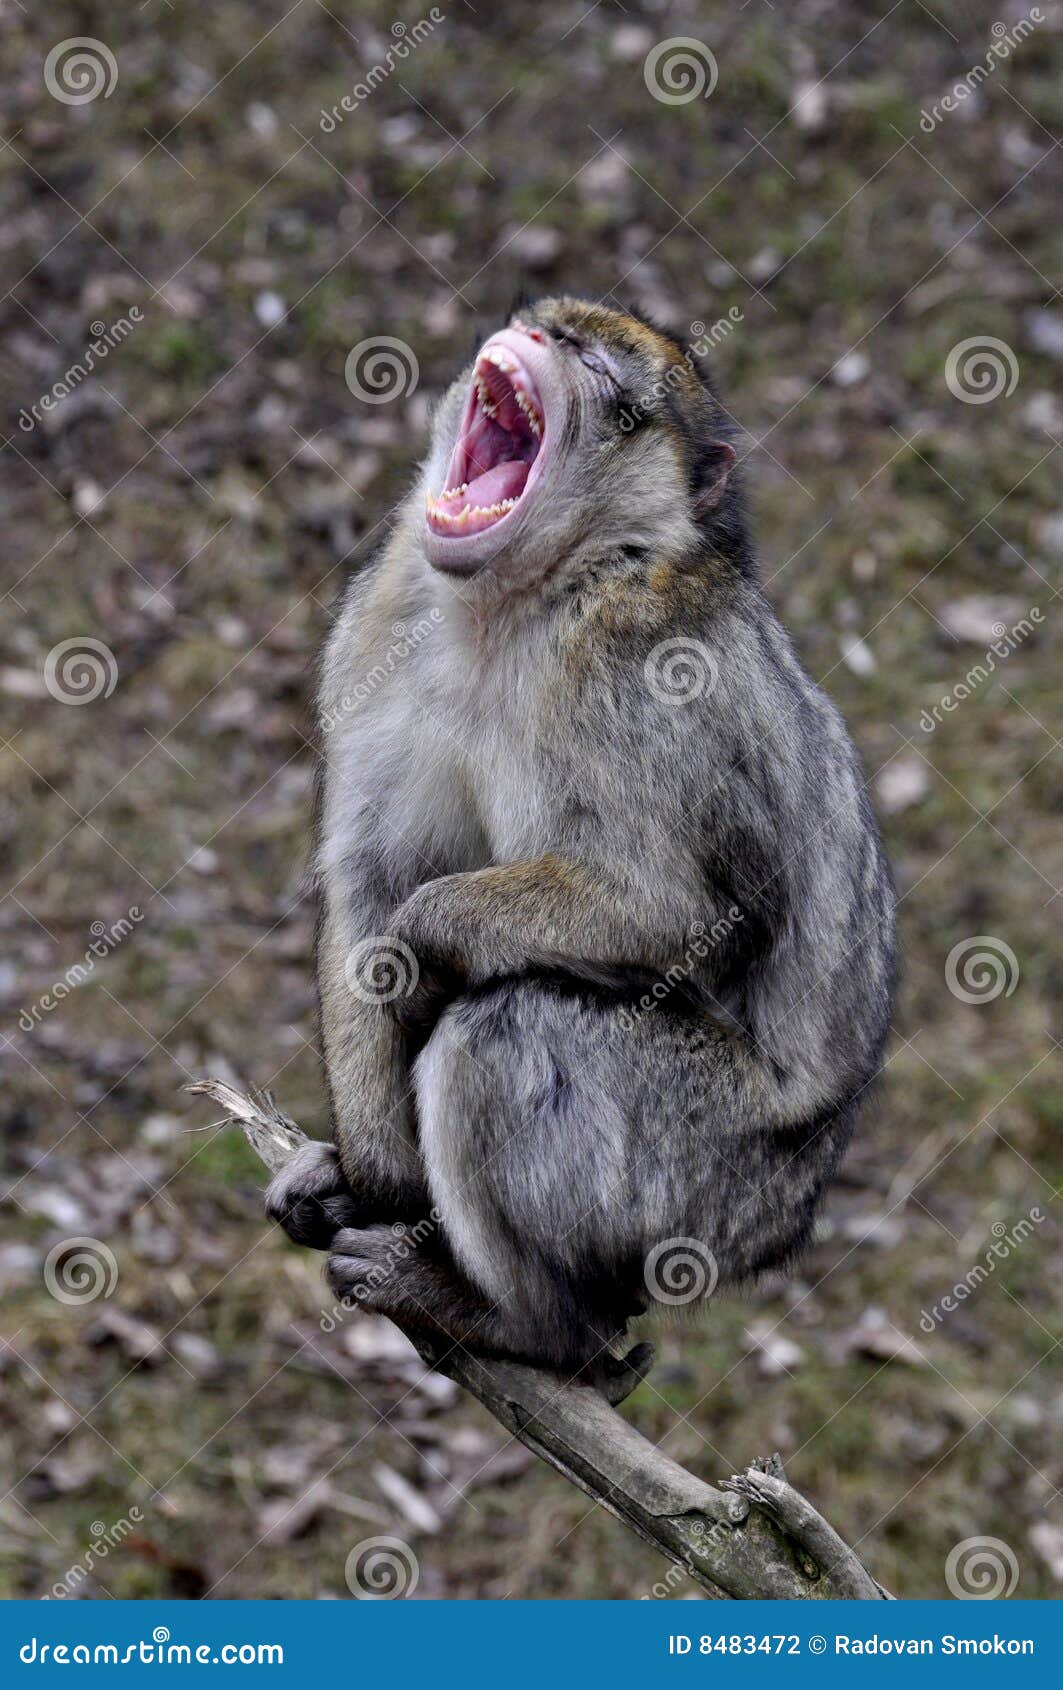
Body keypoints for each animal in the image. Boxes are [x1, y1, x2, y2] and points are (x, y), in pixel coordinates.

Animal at [265, 296, 896, 1381]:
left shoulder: (637, 672)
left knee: (507, 1031)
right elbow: (364, 886)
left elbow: (687, 914)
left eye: (600, 369)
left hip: (700, 1181)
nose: (543, 341)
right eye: (545, 325)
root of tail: (788, 1219)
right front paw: (374, 1171)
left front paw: (428, 938)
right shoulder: (379, 623)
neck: (519, 602)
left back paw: (530, 1324)